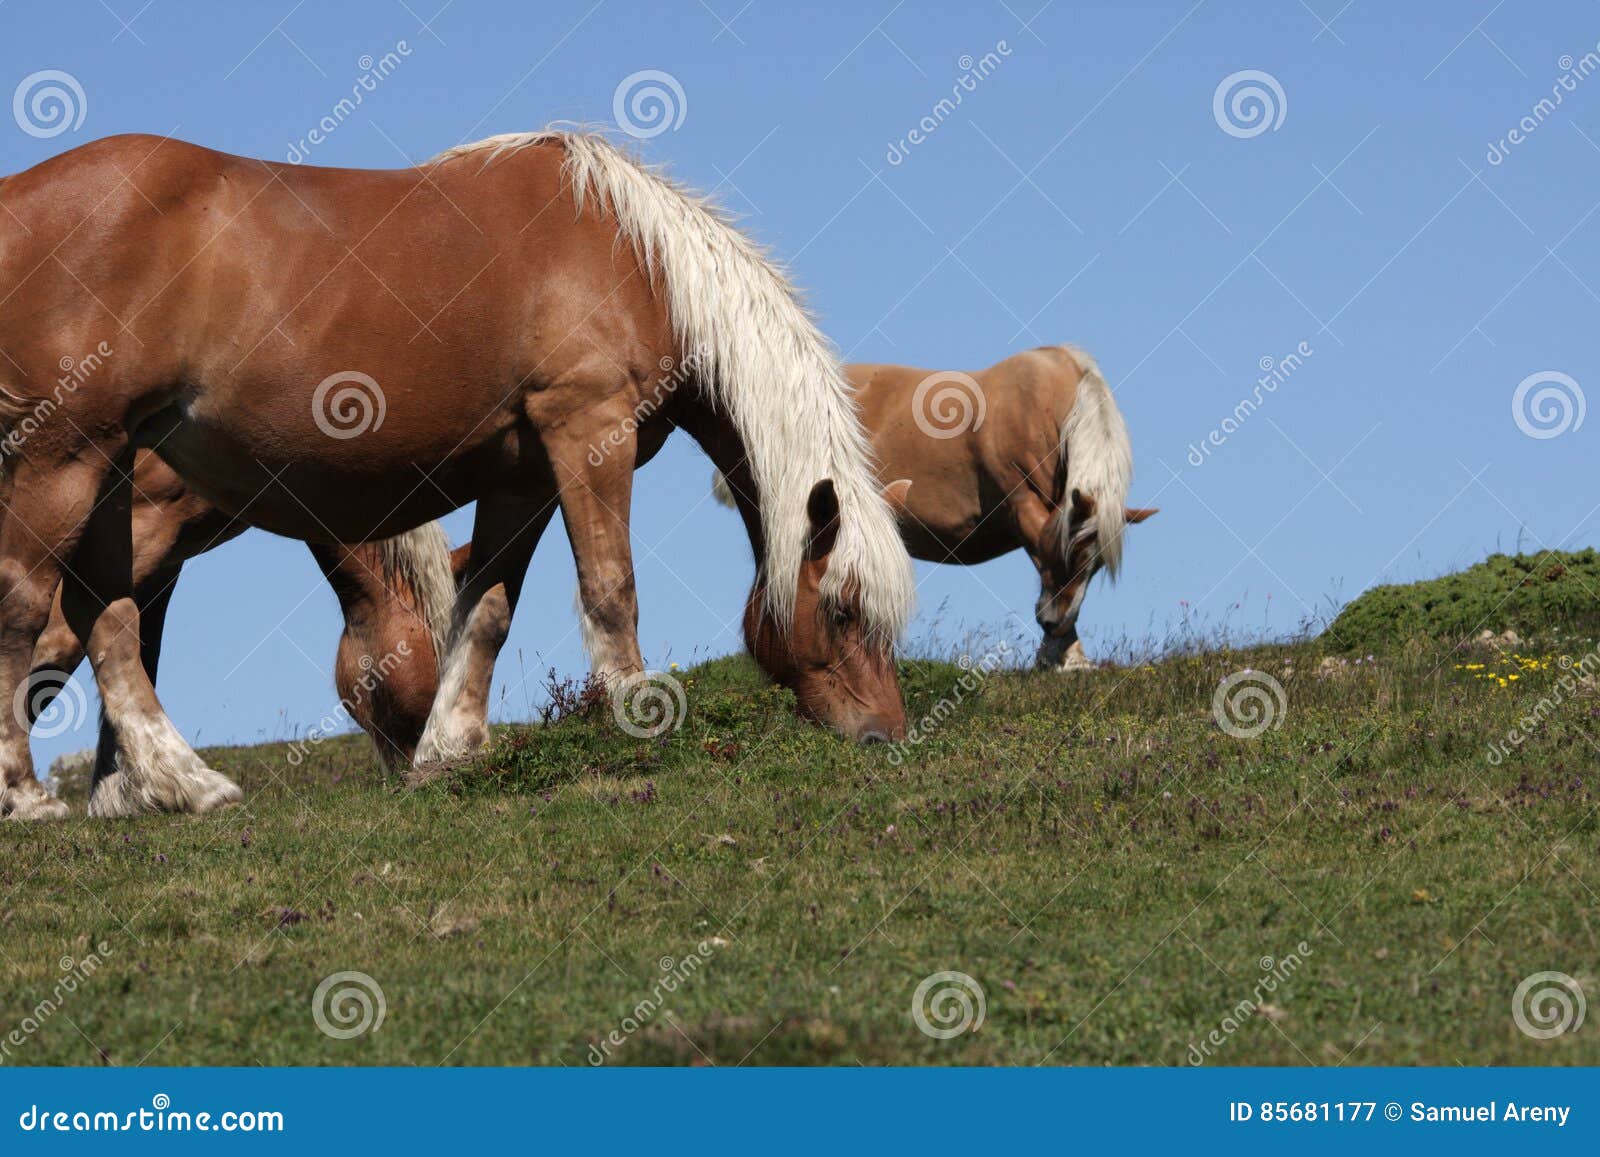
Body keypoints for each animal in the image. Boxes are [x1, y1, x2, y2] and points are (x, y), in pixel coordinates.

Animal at [16, 452, 455, 816]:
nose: (430, 774)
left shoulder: (163, 556)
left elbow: (139, 650)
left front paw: (127, 792)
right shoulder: (130, 526)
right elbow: (57, 644)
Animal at [716, 346, 1155, 670]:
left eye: (1094, 565)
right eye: (1069, 555)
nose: (1051, 621)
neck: (1044, 403)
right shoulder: (1026, 509)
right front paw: (1064, 657)